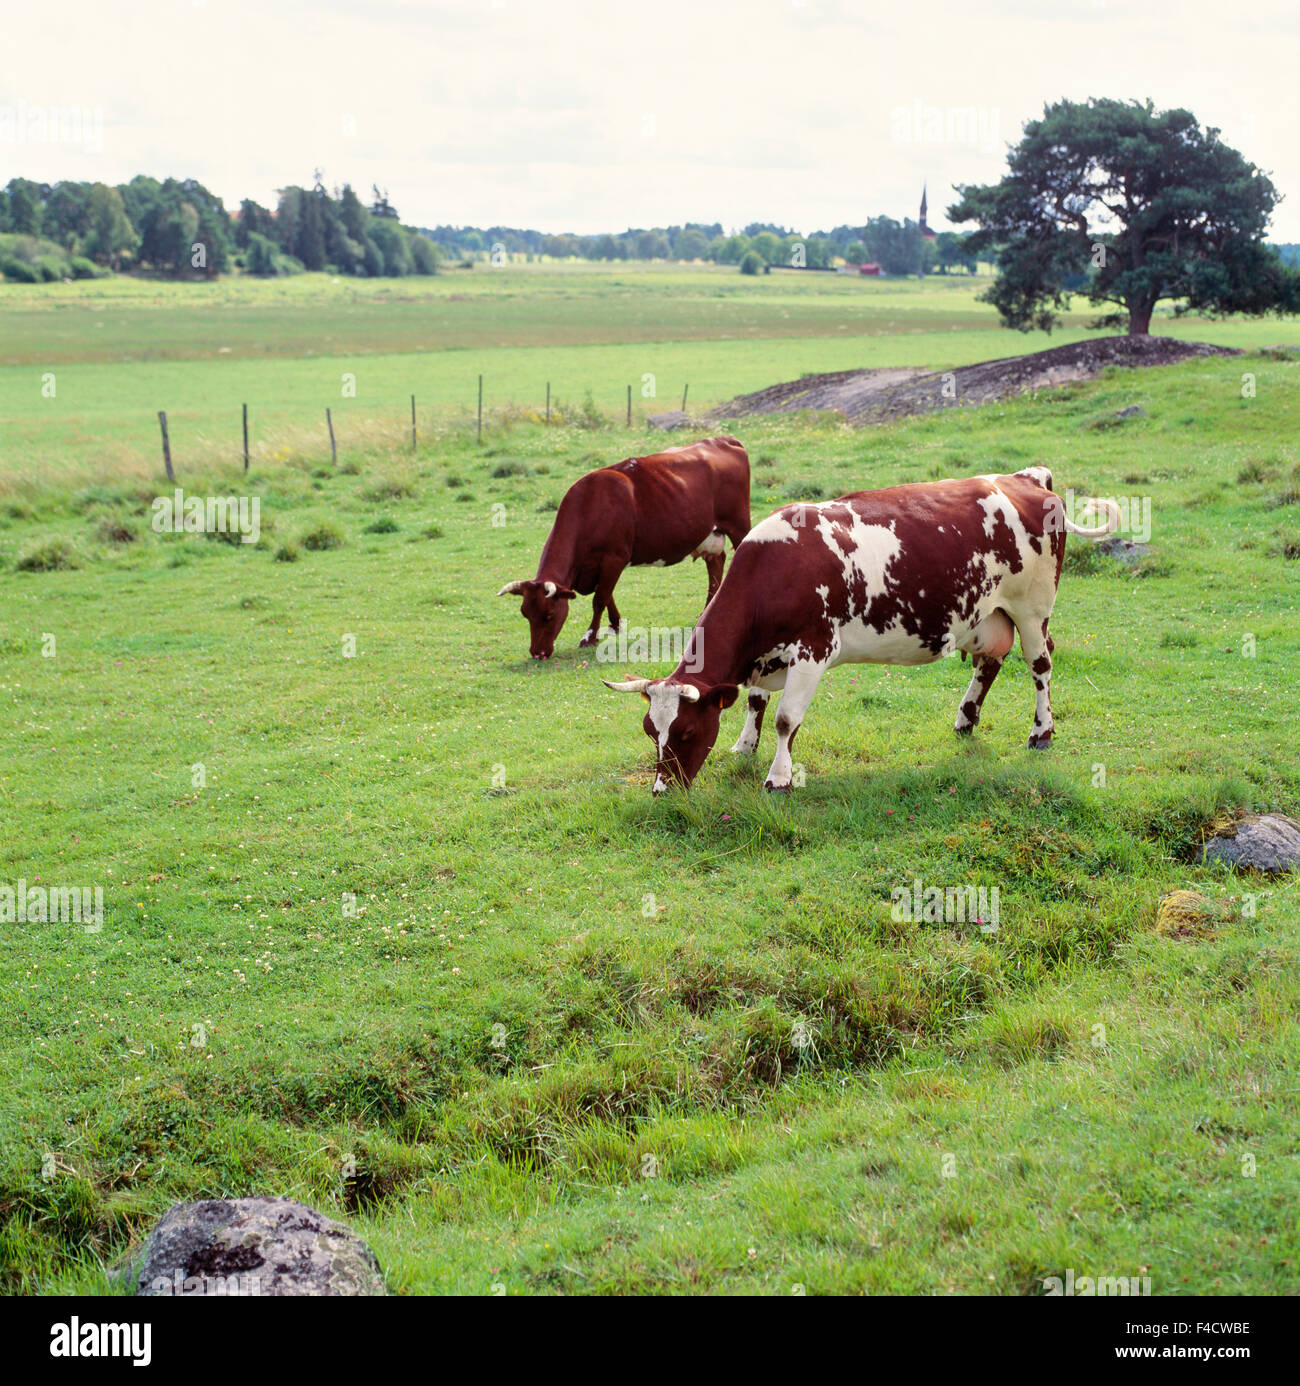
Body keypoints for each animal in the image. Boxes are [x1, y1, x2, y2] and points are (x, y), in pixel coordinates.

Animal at [498, 437, 751, 659]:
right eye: (525, 614)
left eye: (549, 615)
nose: (537, 653)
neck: (589, 505)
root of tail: (722, 439)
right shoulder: (598, 566)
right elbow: (607, 594)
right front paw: (615, 625)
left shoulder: (615, 558)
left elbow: (600, 598)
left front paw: (590, 637)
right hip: (709, 533)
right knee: (716, 562)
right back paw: (707, 611)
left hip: (739, 525)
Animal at [604, 466, 1120, 794]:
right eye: (651, 731)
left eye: (687, 732)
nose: (661, 789)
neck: (774, 569)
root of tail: (1025, 479)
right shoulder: (766, 656)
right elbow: (755, 702)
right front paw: (744, 746)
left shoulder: (811, 651)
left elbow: (785, 719)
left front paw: (779, 777)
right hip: (985, 614)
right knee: (989, 662)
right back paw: (965, 719)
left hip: (1031, 608)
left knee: (1041, 663)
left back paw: (1041, 731)